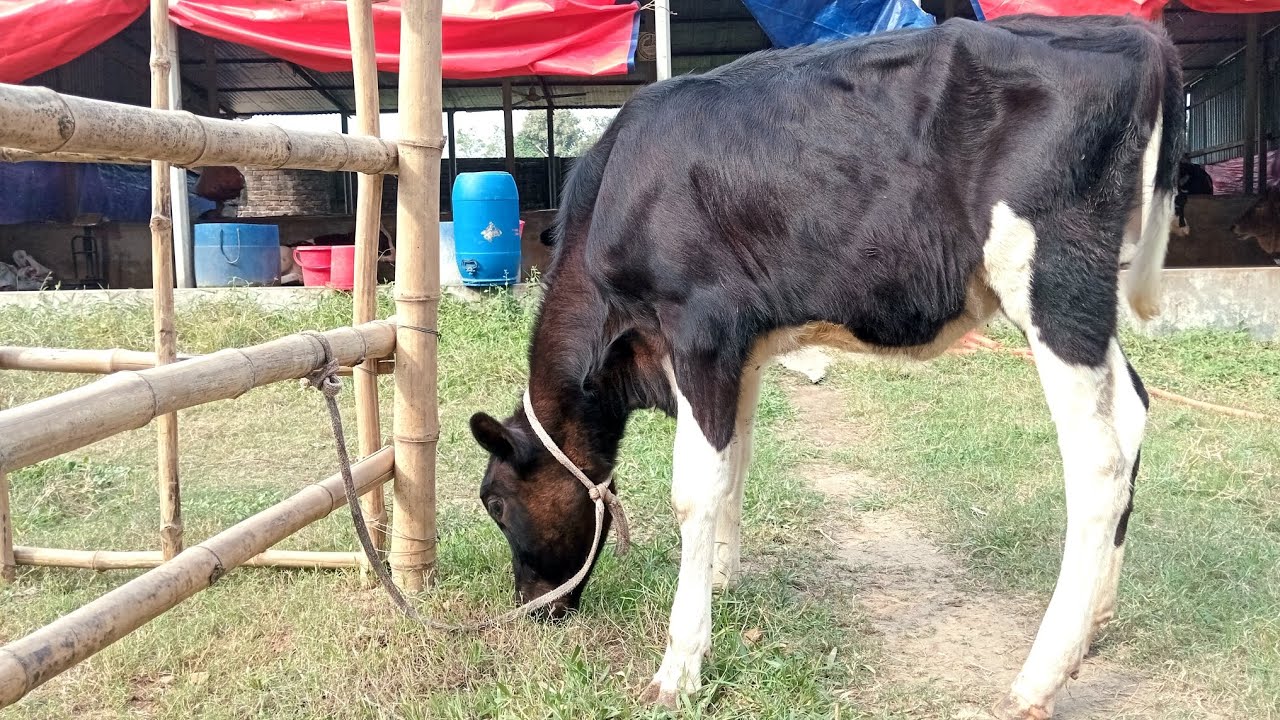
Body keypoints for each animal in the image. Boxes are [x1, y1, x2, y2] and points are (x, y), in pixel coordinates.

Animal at [468, 15, 1182, 719]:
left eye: (496, 503)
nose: (532, 613)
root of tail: (1135, 35)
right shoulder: (743, 348)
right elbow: (736, 463)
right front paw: (722, 582)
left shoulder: (699, 327)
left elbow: (695, 491)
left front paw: (680, 666)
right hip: (1082, 298)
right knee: (1131, 411)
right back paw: (1095, 620)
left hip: (1048, 275)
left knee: (1096, 462)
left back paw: (1041, 676)